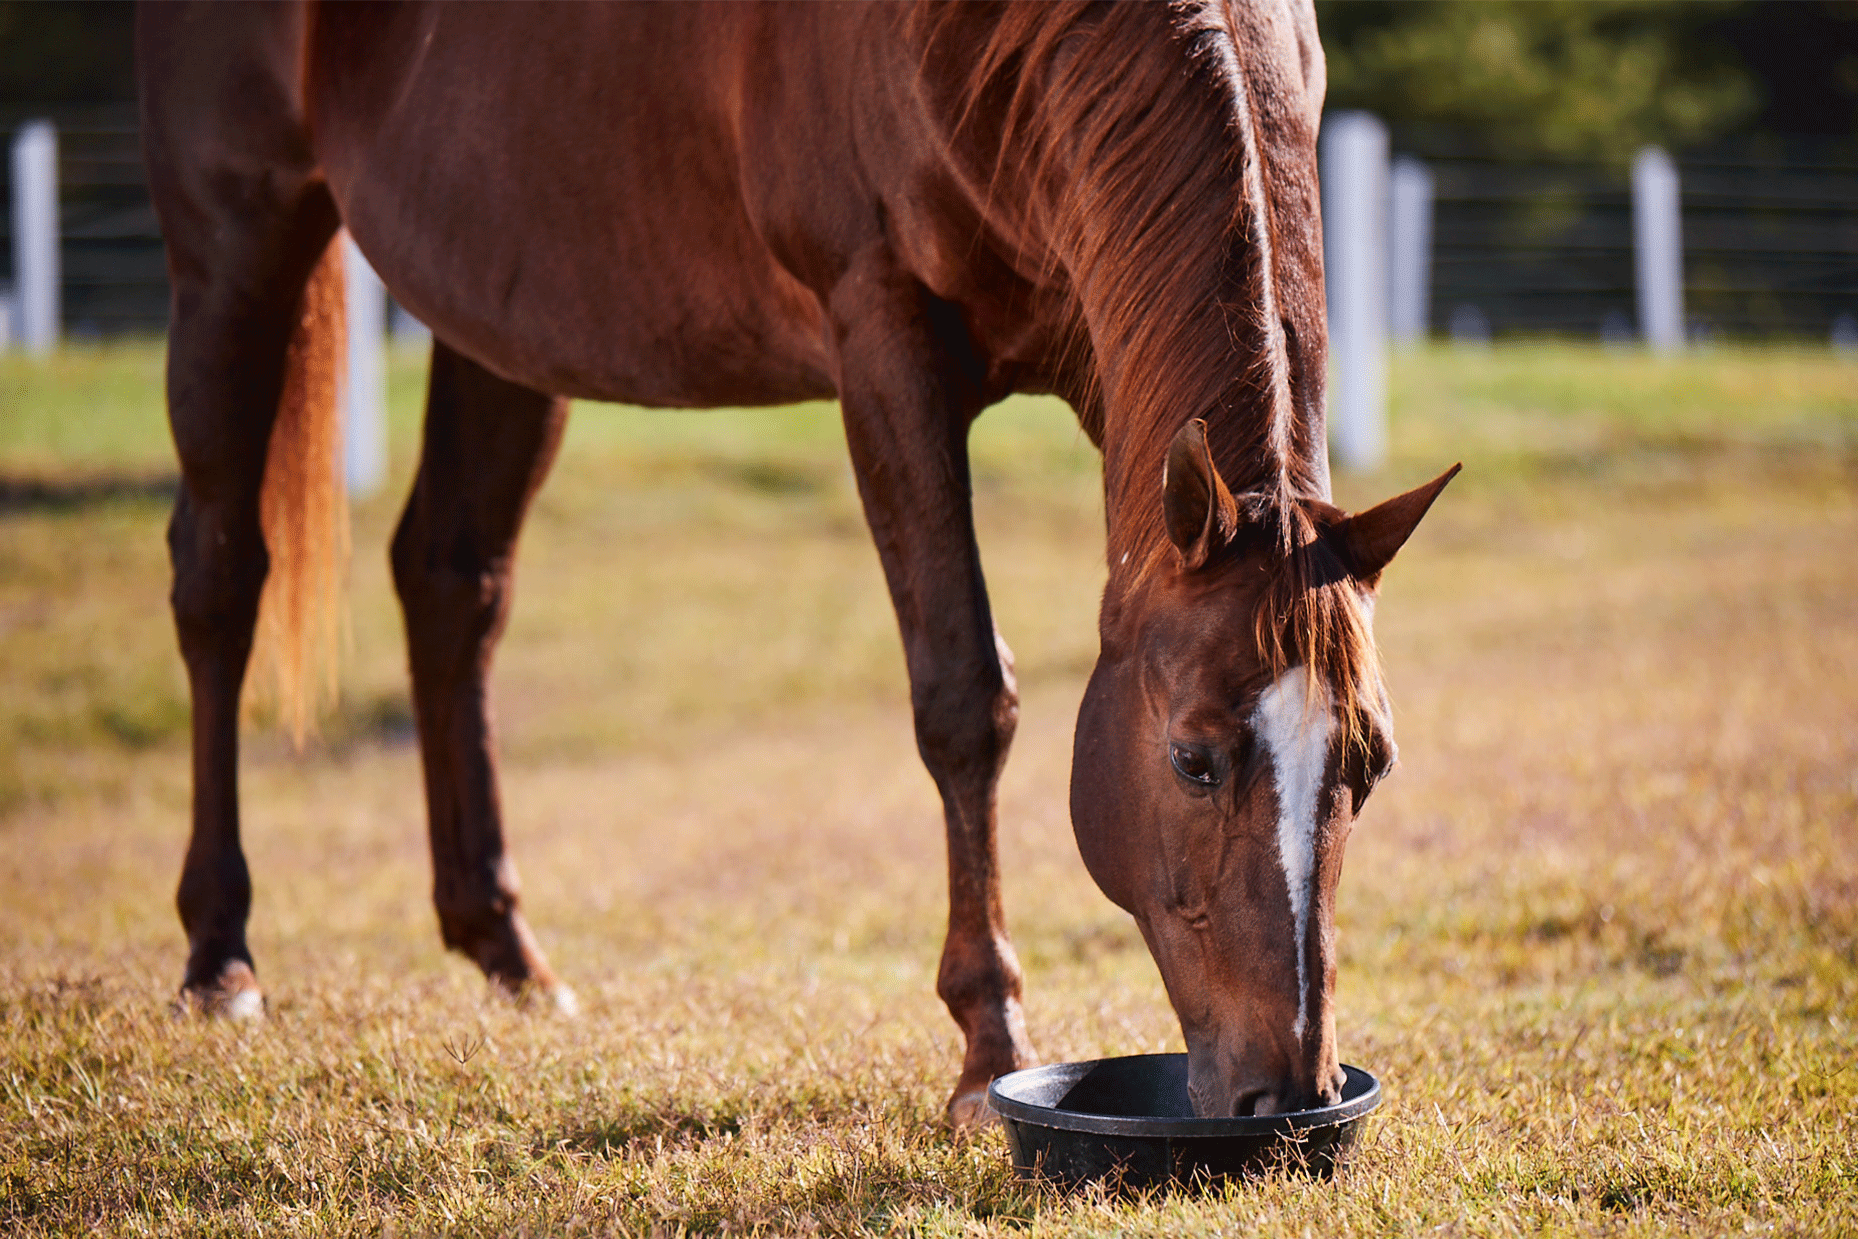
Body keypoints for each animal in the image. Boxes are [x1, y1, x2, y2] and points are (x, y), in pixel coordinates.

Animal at [138, 0, 1454, 1125]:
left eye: (1371, 764)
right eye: (1193, 760)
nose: (1288, 1093)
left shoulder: (1105, 357)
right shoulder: (881, 333)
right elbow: (962, 695)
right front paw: (988, 1048)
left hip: (491, 321)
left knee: (450, 582)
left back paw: (508, 954)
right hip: (235, 245)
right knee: (219, 579)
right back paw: (220, 960)